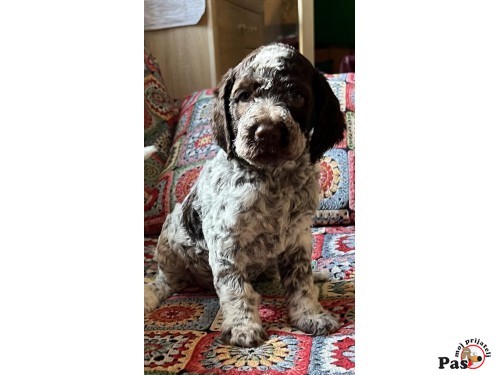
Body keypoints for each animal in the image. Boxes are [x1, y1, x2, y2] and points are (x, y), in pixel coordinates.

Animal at [146, 42, 344, 348]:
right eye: (243, 97)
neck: (273, 179)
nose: (266, 132)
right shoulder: (226, 243)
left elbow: (300, 281)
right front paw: (244, 326)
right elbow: (237, 289)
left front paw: (310, 314)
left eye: (297, 96)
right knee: (167, 282)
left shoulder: (298, 237)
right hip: (169, 245)